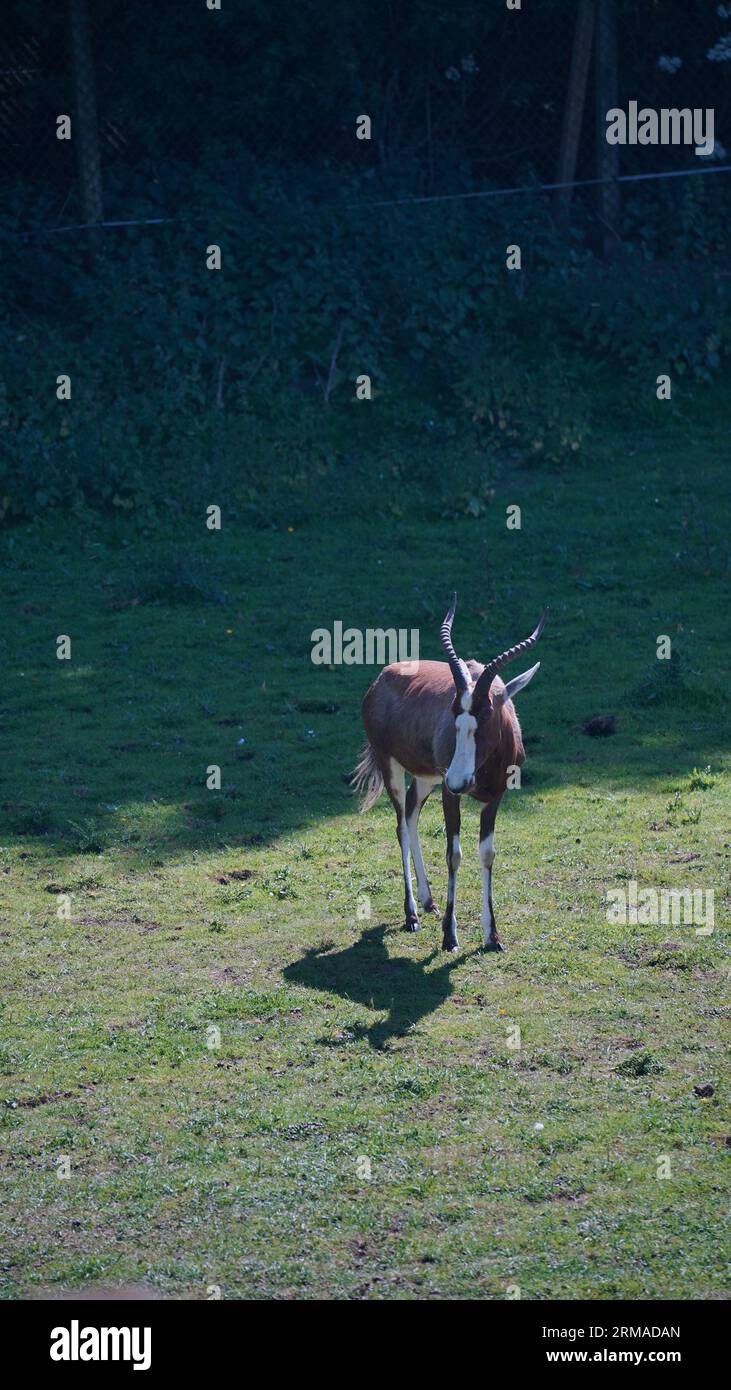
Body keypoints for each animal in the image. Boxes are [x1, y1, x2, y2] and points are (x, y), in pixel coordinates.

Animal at [352, 595, 547, 952]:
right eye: (454, 713)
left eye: (487, 716)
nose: (460, 780)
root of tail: (382, 678)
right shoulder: (448, 794)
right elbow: (454, 854)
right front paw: (450, 937)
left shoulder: (494, 798)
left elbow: (487, 853)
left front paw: (492, 936)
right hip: (393, 767)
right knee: (401, 825)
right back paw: (412, 915)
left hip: (426, 778)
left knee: (412, 814)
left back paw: (428, 900)